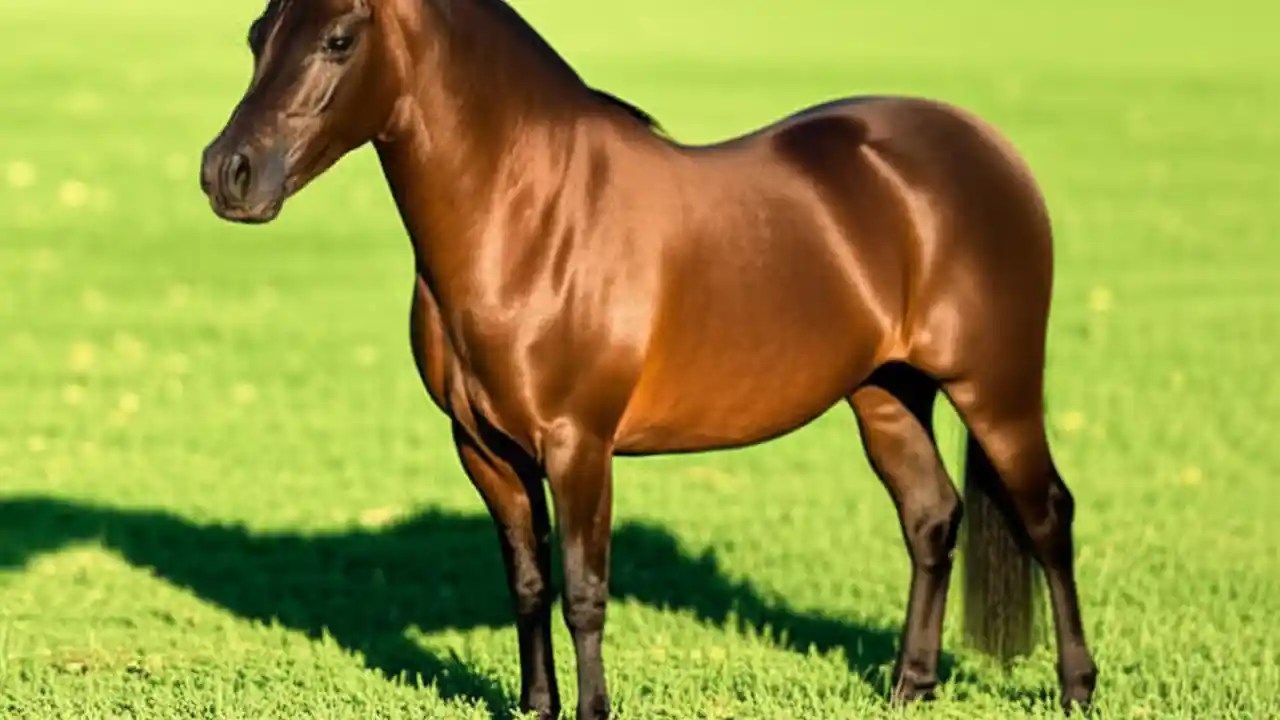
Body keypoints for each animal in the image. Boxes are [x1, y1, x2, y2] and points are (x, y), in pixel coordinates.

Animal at [199, 1, 1097, 717]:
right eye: (256, 33)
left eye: (339, 39)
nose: (226, 174)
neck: (529, 217)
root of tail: (987, 149)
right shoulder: (484, 450)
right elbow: (529, 585)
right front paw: (537, 707)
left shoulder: (579, 445)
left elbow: (584, 594)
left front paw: (592, 710)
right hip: (886, 393)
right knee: (931, 518)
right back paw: (909, 687)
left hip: (997, 389)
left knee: (1047, 517)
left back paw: (1076, 687)